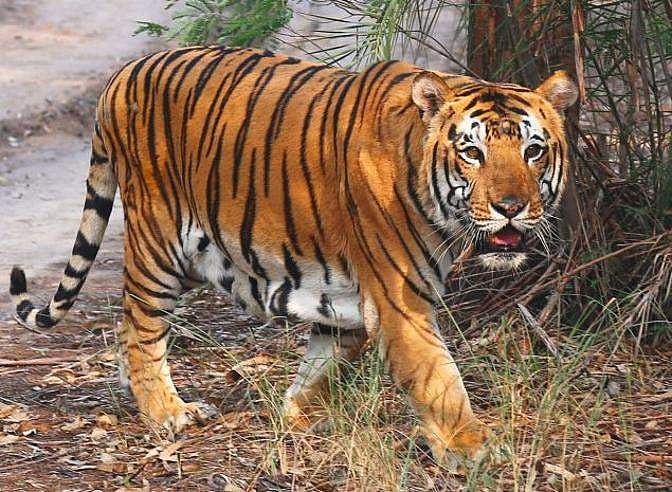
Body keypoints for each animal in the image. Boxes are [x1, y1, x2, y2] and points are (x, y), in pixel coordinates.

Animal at [9, 46, 577, 461]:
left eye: (533, 150)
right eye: (472, 152)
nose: (511, 208)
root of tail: (124, 73)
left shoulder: (348, 297)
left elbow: (326, 362)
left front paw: (298, 413)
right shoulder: (401, 301)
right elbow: (439, 379)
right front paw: (474, 447)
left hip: (196, 253)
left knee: (127, 321)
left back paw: (136, 391)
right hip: (160, 242)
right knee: (144, 322)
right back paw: (166, 411)